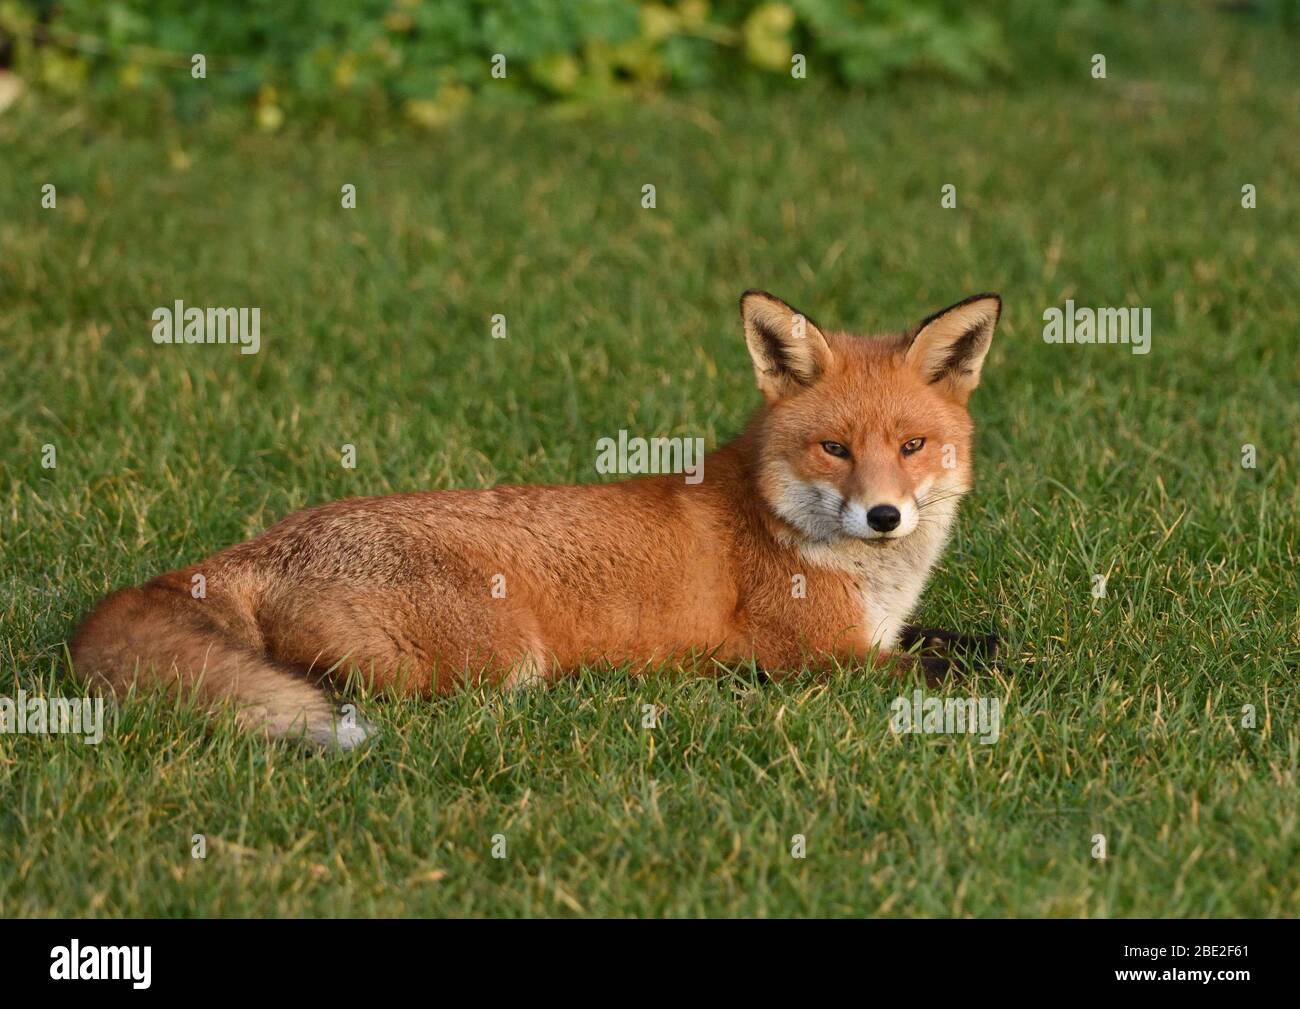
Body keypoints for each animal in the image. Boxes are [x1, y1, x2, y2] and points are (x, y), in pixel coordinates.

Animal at [70, 290, 1002, 749]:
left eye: (913, 445)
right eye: (835, 448)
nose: (884, 514)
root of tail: (264, 541)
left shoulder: (881, 637)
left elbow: (976, 642)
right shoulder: (814, 659)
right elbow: (970, 671)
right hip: (503, 657)